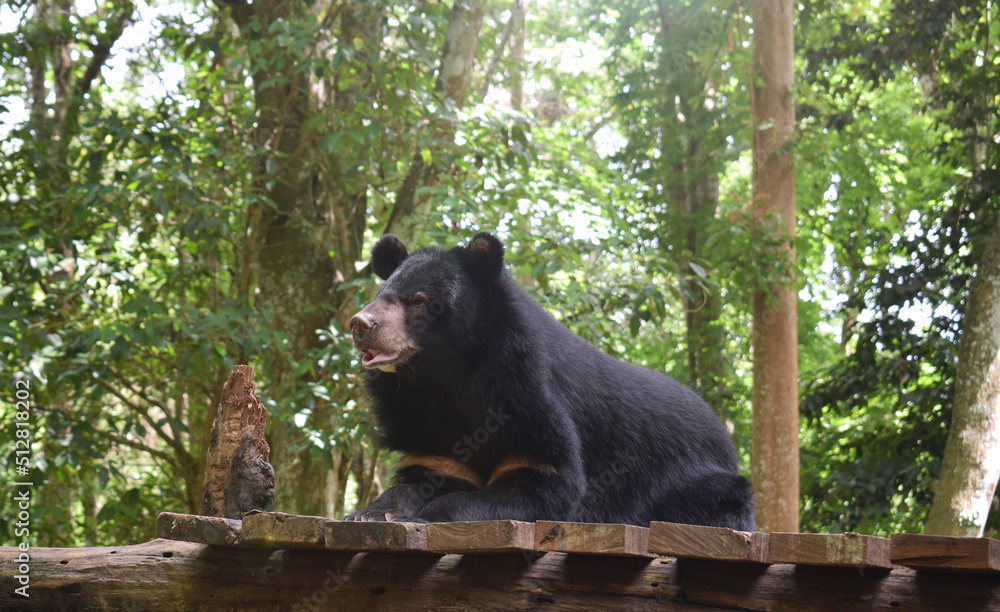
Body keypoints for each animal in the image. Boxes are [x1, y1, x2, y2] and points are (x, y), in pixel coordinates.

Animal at [345, 232, 755, 530]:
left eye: (418, 301)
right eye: (382, 295)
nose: (360, 324)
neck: (446, 379)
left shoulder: (531, 399)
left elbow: (550, 482)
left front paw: (421, 514)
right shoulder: (423, 422)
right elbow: (430, 473)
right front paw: (372, 511)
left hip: (699, 483)